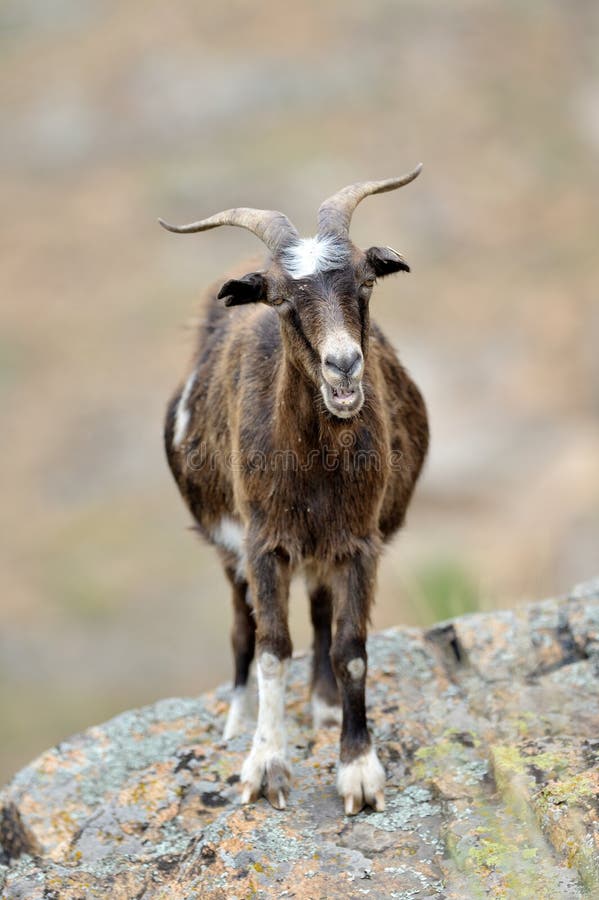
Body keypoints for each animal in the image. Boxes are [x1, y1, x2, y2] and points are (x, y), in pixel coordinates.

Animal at [159, 166, 429, 815]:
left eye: (365, 281)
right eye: (281, 298)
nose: (344, 367)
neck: (314, 469)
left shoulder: (358, 541)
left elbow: (351, 648)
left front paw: (358, 770)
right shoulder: (264, 542)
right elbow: (272, 647)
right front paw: (264, 767)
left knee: (322, 613)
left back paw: (323, 705)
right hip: (226, 543)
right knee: (242, 624)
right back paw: (238, 718)